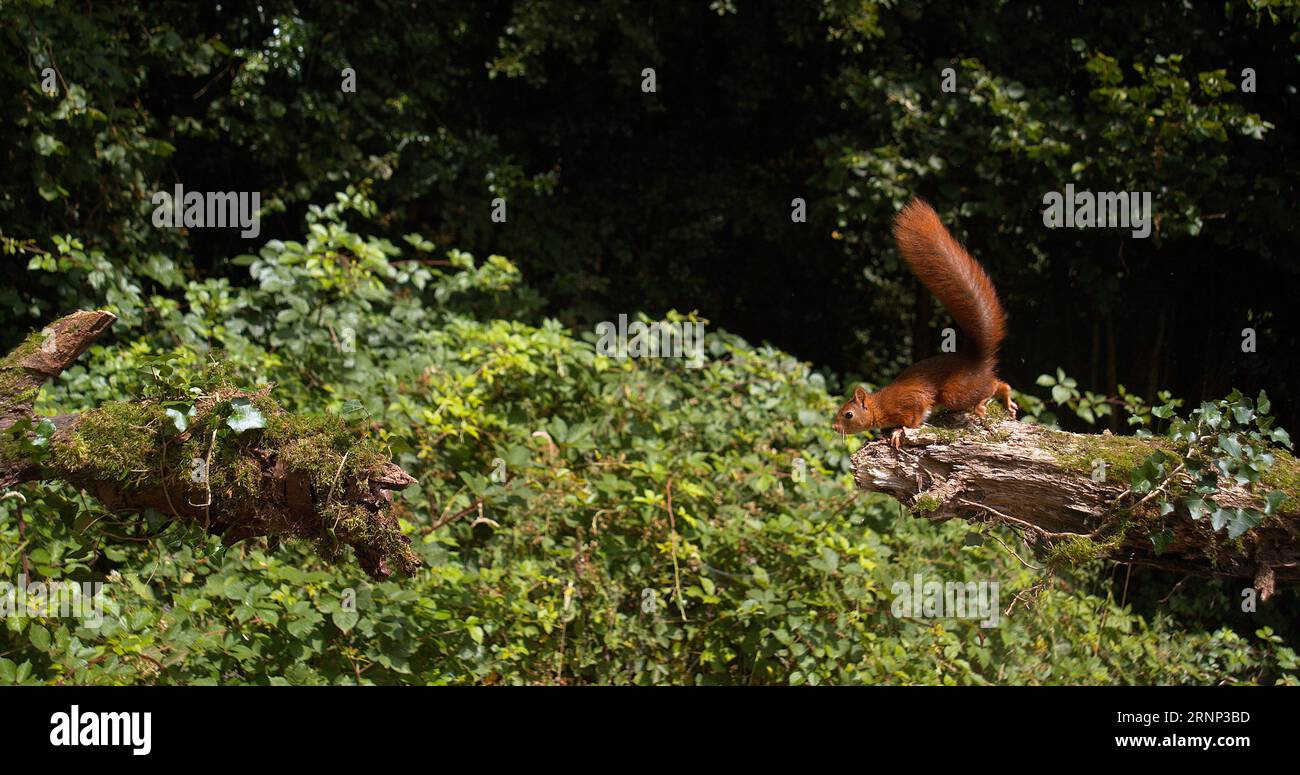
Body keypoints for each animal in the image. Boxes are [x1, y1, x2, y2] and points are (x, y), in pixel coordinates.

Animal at [832, 198, 1016, 447]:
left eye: (849, 414)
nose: (834, 427)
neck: (880, 405)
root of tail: (979, 359)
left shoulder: (911, 402)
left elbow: (914, 418)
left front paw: (899, 431)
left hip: (955, 392)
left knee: (990, 387)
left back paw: (983, 404)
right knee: (1000, 383)